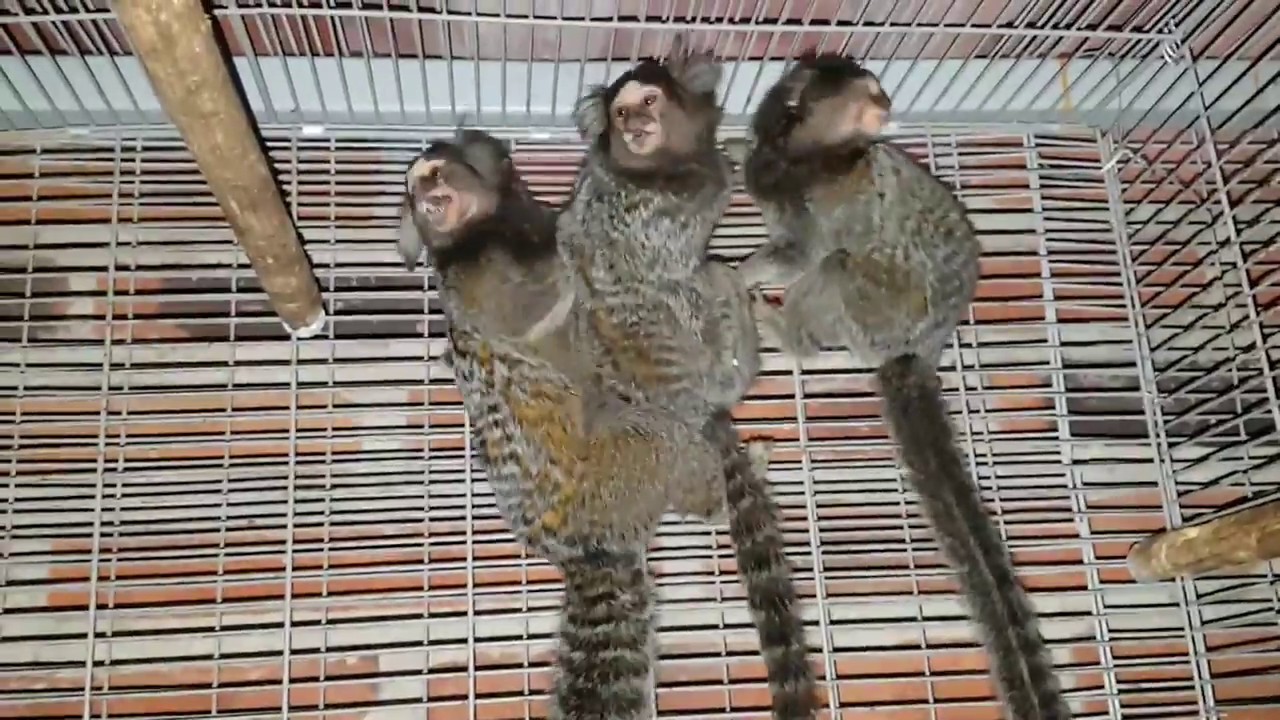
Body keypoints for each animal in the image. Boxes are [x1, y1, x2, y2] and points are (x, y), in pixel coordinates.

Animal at [398, 128, 778, 718]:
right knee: (664, 441)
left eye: (434, 175)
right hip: (621, 468)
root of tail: (582, 547)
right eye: (417, 191)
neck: (489, 226)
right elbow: (539, 305)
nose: (427, 197)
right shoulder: (478, 275)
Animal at [559, 36, 818, 719]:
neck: (649, 171)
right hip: (711, 355)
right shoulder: (684, 202)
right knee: (709, 284)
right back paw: (742, 302)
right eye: (621, 113)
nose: (635, 125)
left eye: (648, 101)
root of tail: (688, 404)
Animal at [738, 53, 1073, 720]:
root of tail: (915, 350)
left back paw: (787, 334)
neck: (808, 159)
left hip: (872, 315)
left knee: (835, 268)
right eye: (865, 95)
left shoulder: (821, 203)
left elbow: (798, 255)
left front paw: (738, 274)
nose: (885, 104)